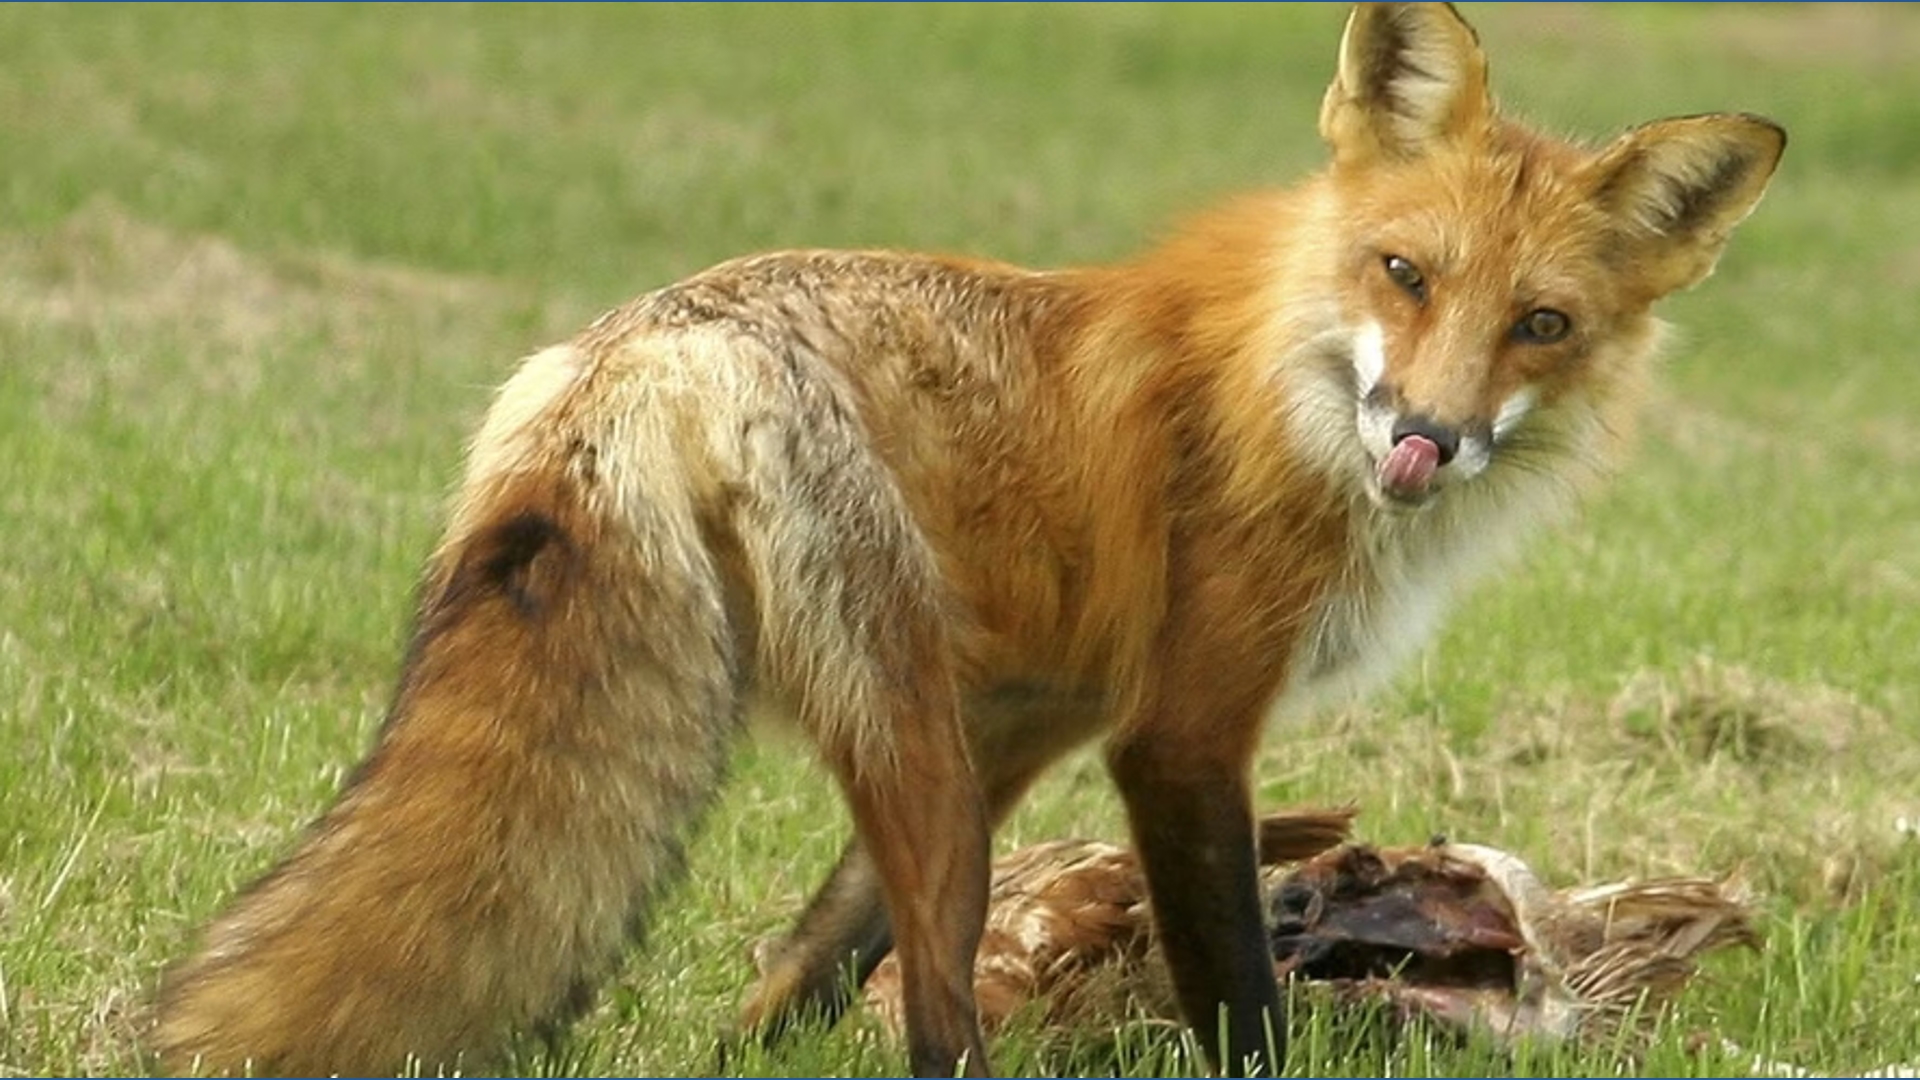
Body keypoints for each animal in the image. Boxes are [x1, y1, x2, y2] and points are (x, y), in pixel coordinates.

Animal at [150, 3, 1783, 1077]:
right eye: (1405, 274)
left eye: (1541, 326)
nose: (1426, 440)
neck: (1288, 384)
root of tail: (642, 347)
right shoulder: (1178, 737)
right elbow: (1244, 1005)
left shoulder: (1028, 722)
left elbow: (798, 969)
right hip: (920, 757)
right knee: (940, 1029)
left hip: (933, 763)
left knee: (840, 990)